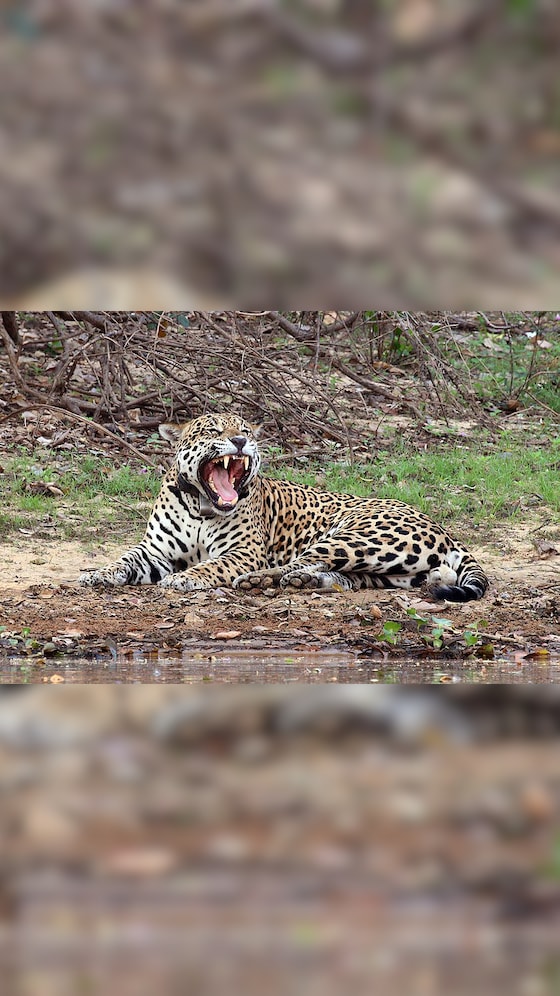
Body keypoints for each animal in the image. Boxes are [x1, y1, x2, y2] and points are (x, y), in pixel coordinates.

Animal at [79, 412, 488, 602]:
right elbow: (124, 559)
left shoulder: (243, 552)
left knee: (301, 562)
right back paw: (306, 582)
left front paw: (186, 578)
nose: (240, 441)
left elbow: (214, 565)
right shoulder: (155, 551)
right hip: (391, 570)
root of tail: (442, 526)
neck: (200, 505)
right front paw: (96, 574)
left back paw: (261, 581)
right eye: (212, 430)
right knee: (345, 577)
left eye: (244, 429)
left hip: (358, 537)